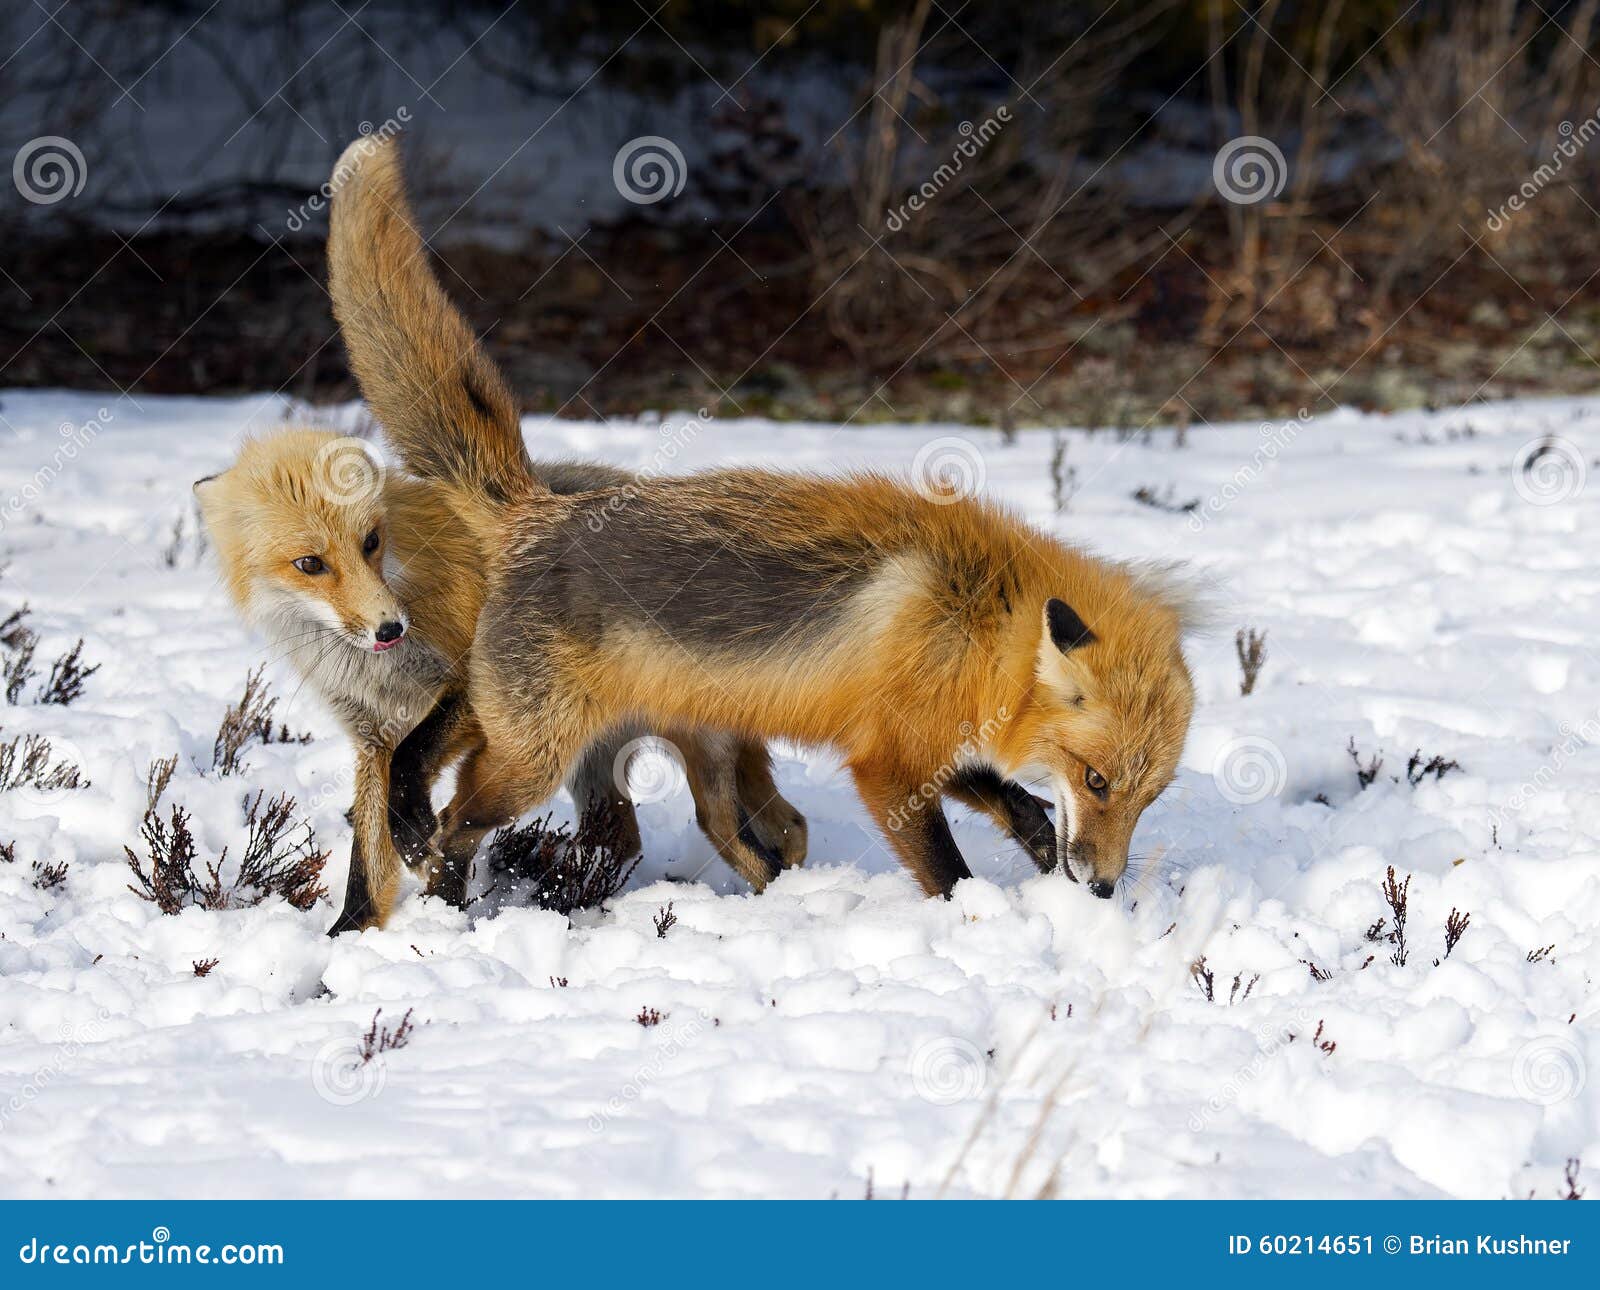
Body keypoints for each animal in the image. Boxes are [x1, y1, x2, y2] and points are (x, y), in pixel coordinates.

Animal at [328, 132, 1196, 903]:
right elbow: (948, 869)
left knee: (703, 822)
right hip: (536, 755)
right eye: (1096, 779)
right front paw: (979, 920)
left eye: (1147, 796)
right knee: (456, 821)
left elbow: (1013, 801)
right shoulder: (886, 763)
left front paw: (1043, 853)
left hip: (663, 732)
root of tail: (538, 510)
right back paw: (438, 879)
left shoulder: (928, 742)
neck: (978, 612)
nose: (1106, 887)